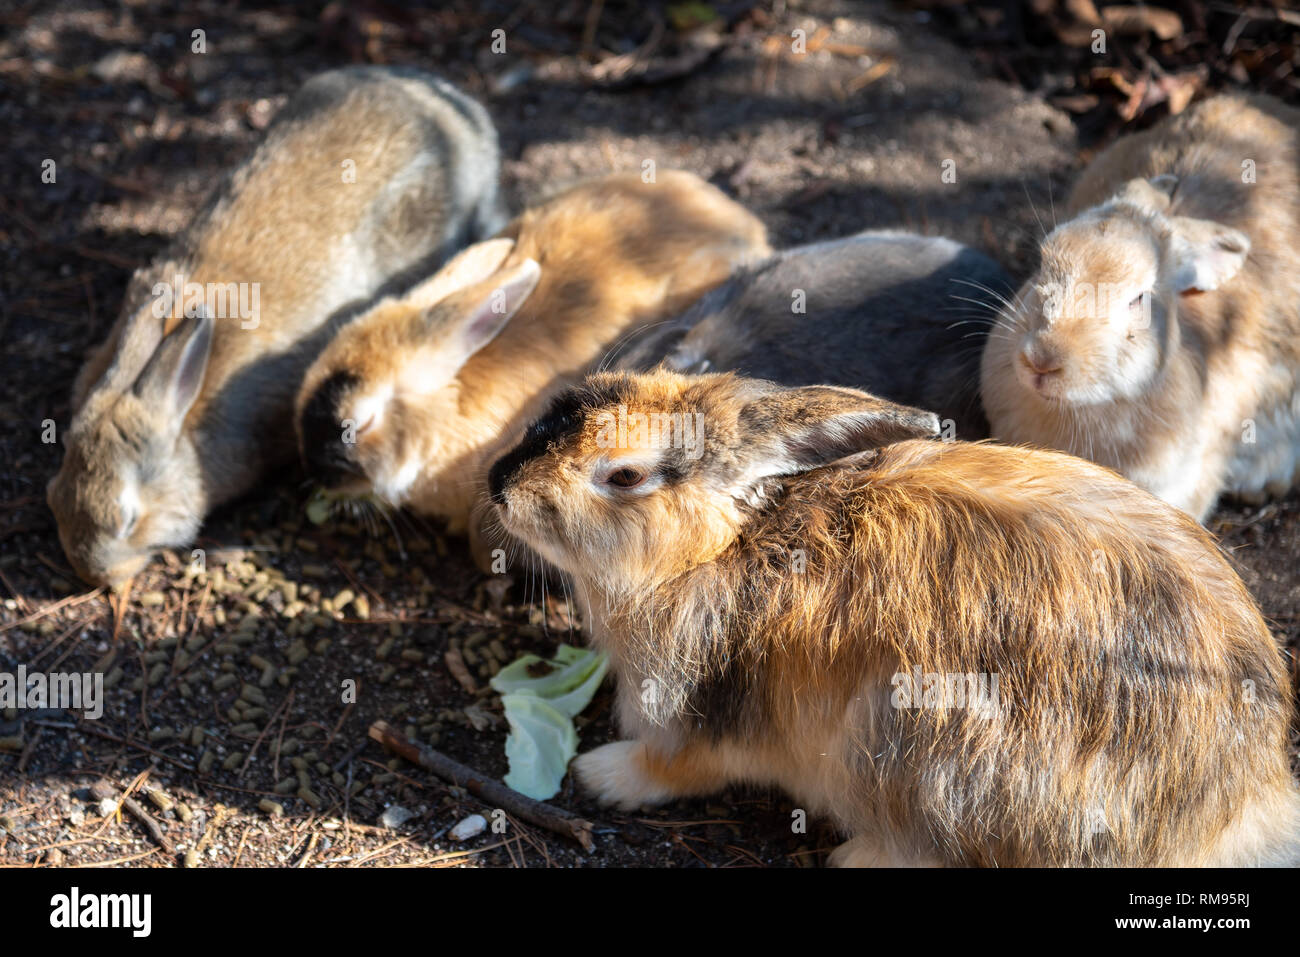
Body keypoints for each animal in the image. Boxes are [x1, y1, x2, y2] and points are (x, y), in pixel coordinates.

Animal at [487, 369, 1300, 867]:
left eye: (623, 476)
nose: (499, 484)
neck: (718, 546)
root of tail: (1233, 808)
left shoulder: (699, 715)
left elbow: (674, 765)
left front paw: (600, 775)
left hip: (906, 742)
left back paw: (858, 854)